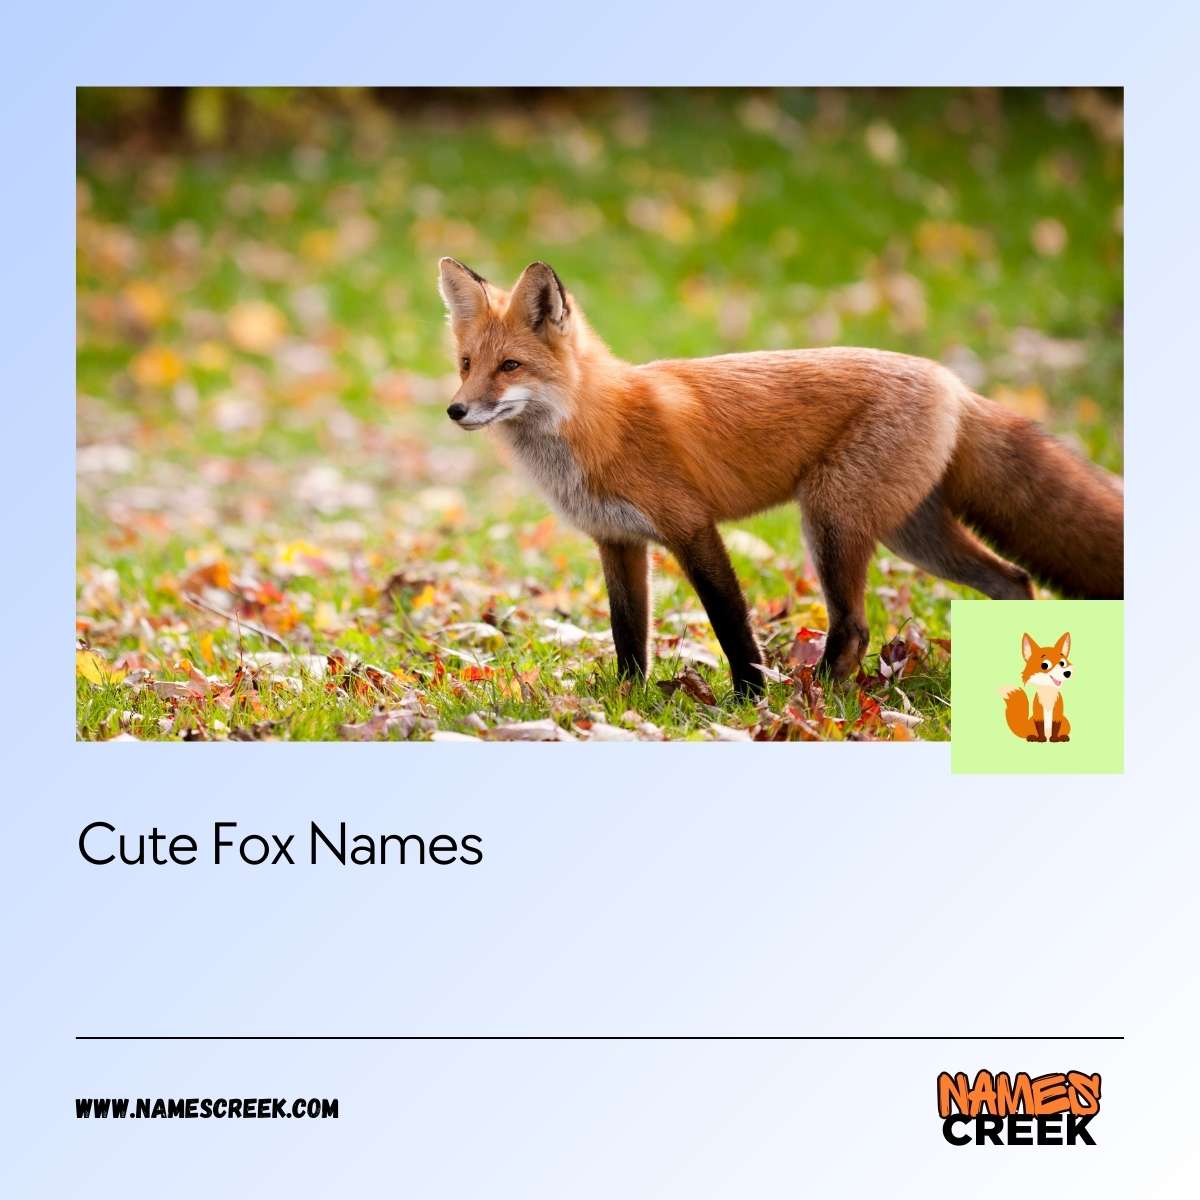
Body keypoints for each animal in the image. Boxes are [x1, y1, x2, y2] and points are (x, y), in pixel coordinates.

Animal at [436, 257, 1124, 696]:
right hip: (910, 534)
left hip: (831, 522)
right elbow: (628, 633)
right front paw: (627, 699)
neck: (595, 423)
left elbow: (730, 623)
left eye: (510, 366)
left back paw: (812, 699)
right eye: (467, 364)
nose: (456, 410)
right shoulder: (619, 541)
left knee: (855, 627)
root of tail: (951, 380)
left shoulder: (691, 528)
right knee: (1012, 580)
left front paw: (749, 697)